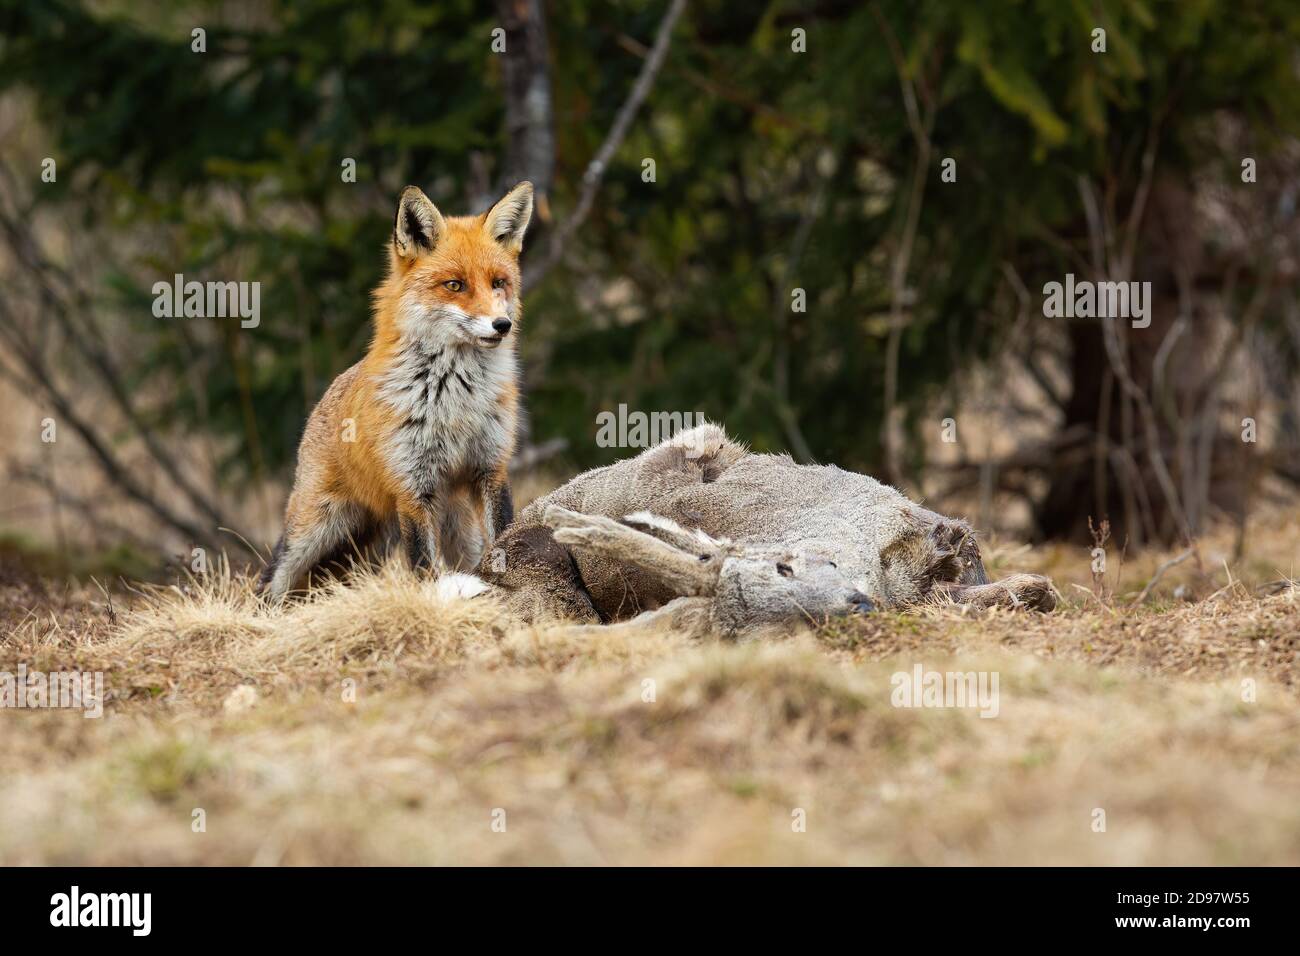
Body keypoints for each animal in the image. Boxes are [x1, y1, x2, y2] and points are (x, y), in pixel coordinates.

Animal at [258, 181, 535, 604]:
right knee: (270, 578)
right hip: (311, 530)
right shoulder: (412, 485)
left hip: (446, 522)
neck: (455, 397)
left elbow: (503, 536)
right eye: (455, 285)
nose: (501, 325)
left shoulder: (490, 467)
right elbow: (423, 562)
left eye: (498, 283)